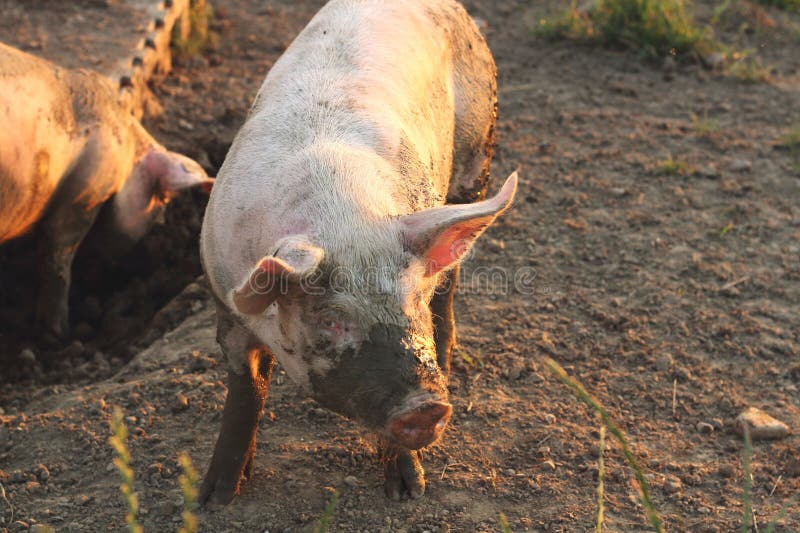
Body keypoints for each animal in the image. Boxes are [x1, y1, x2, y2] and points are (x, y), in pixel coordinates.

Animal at [199, 0, 517, 504]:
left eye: (413, 303)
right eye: (331, 319)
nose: (427, 406)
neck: (341, 218)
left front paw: (409, 492)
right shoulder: (223, 296)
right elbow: (245, 392)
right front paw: (214, 498)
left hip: (478, 141)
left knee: (450, 286)